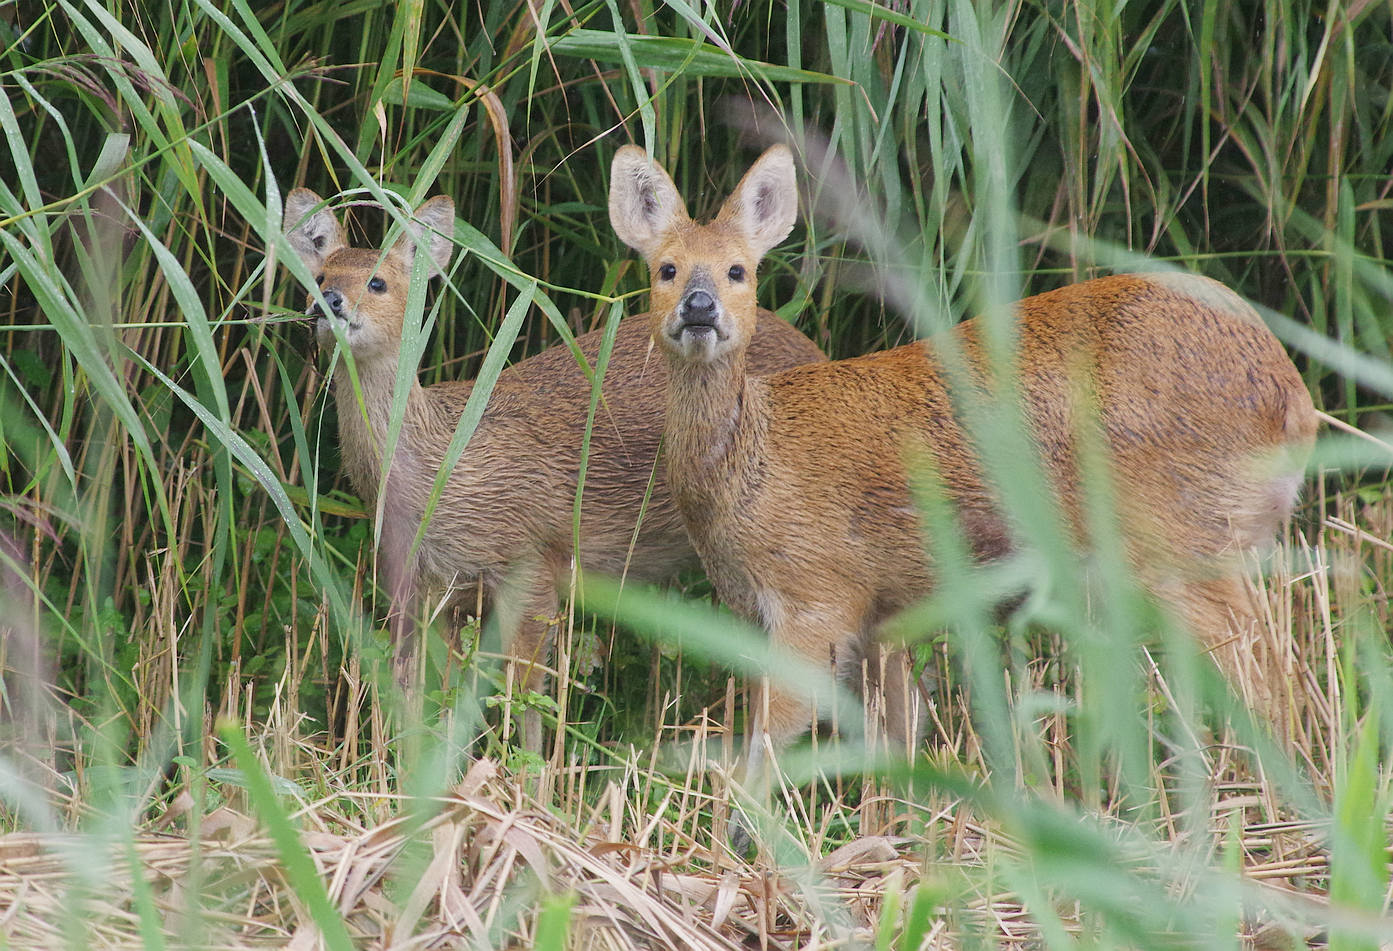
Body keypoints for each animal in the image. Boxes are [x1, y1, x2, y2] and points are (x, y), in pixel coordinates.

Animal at [283, 187, 826, 751]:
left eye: (378, 282)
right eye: (319, 273)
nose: (327, 301)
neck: (444, 464)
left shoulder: (532, 559)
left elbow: (526, 690)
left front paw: (532, 766)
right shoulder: (434, 583)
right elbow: (430, 686)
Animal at [608, 144, 1318, 800]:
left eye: (739, 270)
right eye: (666, 269)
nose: (699, 306)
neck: (750, 458)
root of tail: (1291, 393)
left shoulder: (818, 595)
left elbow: (768, 747)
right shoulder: (871, 617)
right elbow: (895, 733)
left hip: (1182, 531)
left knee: (1258, 664)